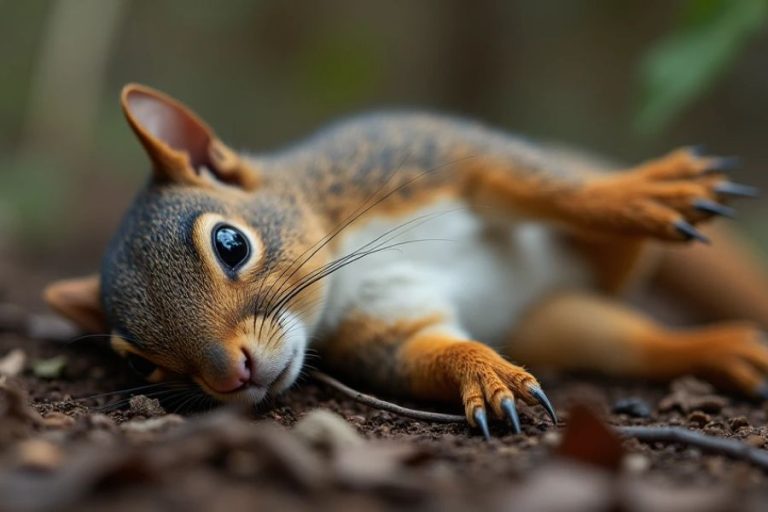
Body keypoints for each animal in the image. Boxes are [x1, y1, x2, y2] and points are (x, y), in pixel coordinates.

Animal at [43, 83, 768, 438]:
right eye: (138, 363)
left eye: (230, 244)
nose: (230, 376)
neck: (341, 255)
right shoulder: (382, 332)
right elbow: (429, 351)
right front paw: (485, 377)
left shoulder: (427, 155)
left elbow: (526, 181)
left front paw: (636, 194)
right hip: (559, 321)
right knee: (633, 341)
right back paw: (727, 350)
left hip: (588, 259)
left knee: (578, 205)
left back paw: (653, 190)